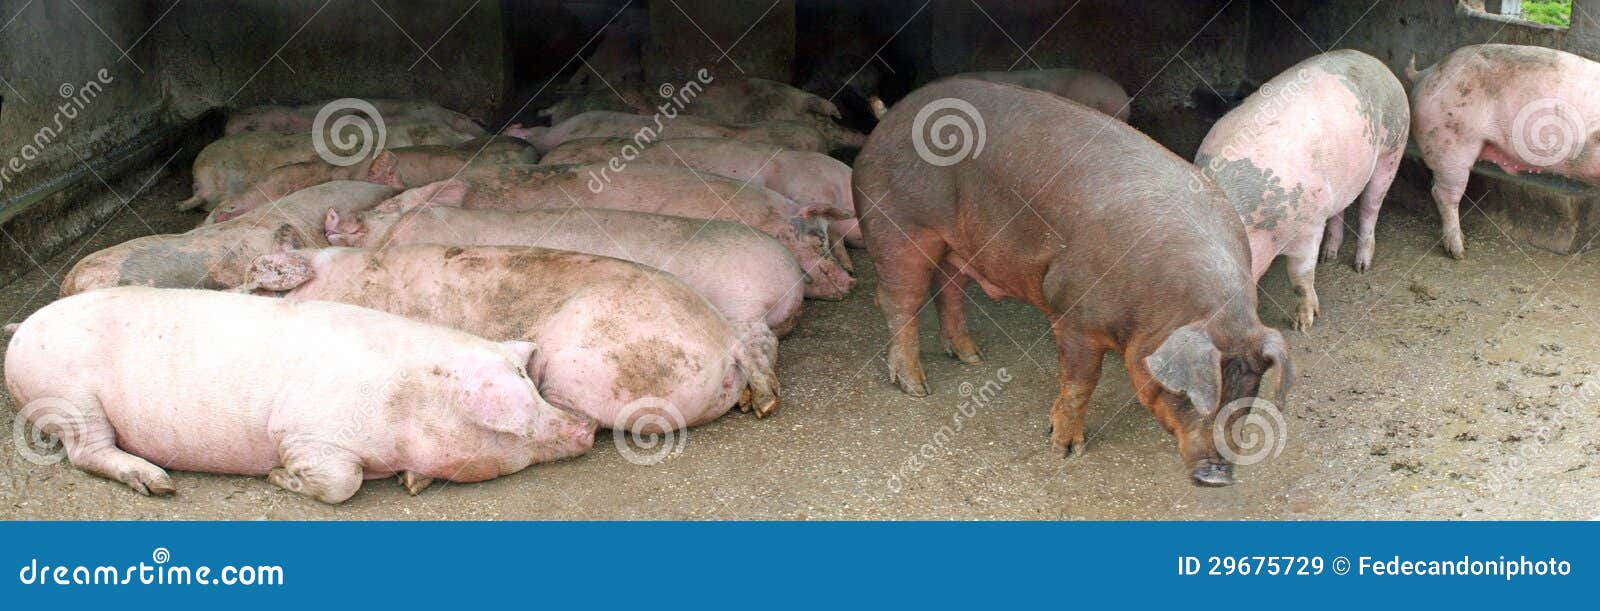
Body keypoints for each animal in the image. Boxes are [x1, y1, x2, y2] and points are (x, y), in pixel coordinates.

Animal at [4, 286, 593, 503]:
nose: (586, 426)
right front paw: (275, 477)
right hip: (70, 398)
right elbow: (342, 483)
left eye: (531, 383)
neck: (406, 406)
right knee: (87, 452)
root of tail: (24, 326)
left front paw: (413, 482)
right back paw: (160, 485)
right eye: (513, 429)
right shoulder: (306, 433)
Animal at [856, 79, 1293, 486]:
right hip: (899, 226)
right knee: (899, 301)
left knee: (948, 288)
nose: (1217, 476)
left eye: (1248, 394)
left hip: (955, 244)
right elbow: (1080, 383)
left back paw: (971, 357)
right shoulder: (1073, 313)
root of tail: (890, 116)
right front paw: (1064, 450)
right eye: (1186, 393)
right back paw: (916, 388)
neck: (1161, 310)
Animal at [1196, 50, 1408, 330]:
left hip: (1393, 146)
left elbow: (1300, 278)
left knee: (1370, 207)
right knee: (1340, 210)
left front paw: (1303, 324)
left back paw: (1361, 266)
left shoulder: (1309, 225)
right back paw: (1329, 256)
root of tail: (1376, 62)